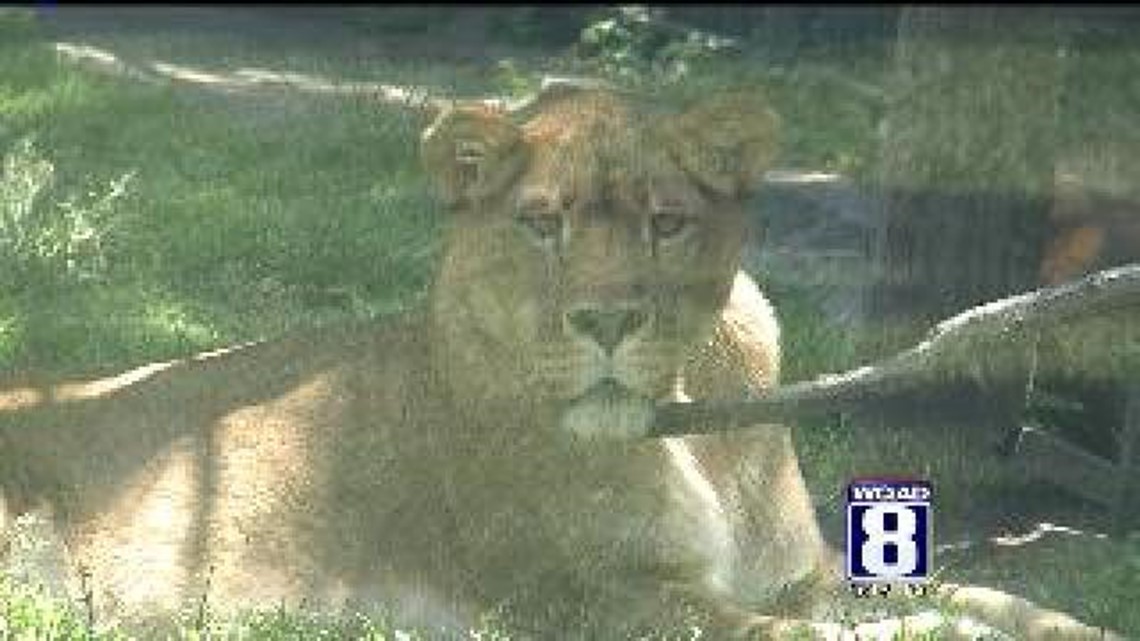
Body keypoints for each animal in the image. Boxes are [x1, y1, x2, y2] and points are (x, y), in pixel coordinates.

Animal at [0, 84, 1124, 640]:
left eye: (665, 223)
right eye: (543, 225)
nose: (607, 319)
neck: (689, 424)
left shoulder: (800, 576)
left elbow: (994, 602)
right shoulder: (596, 596)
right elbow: (825, 639)